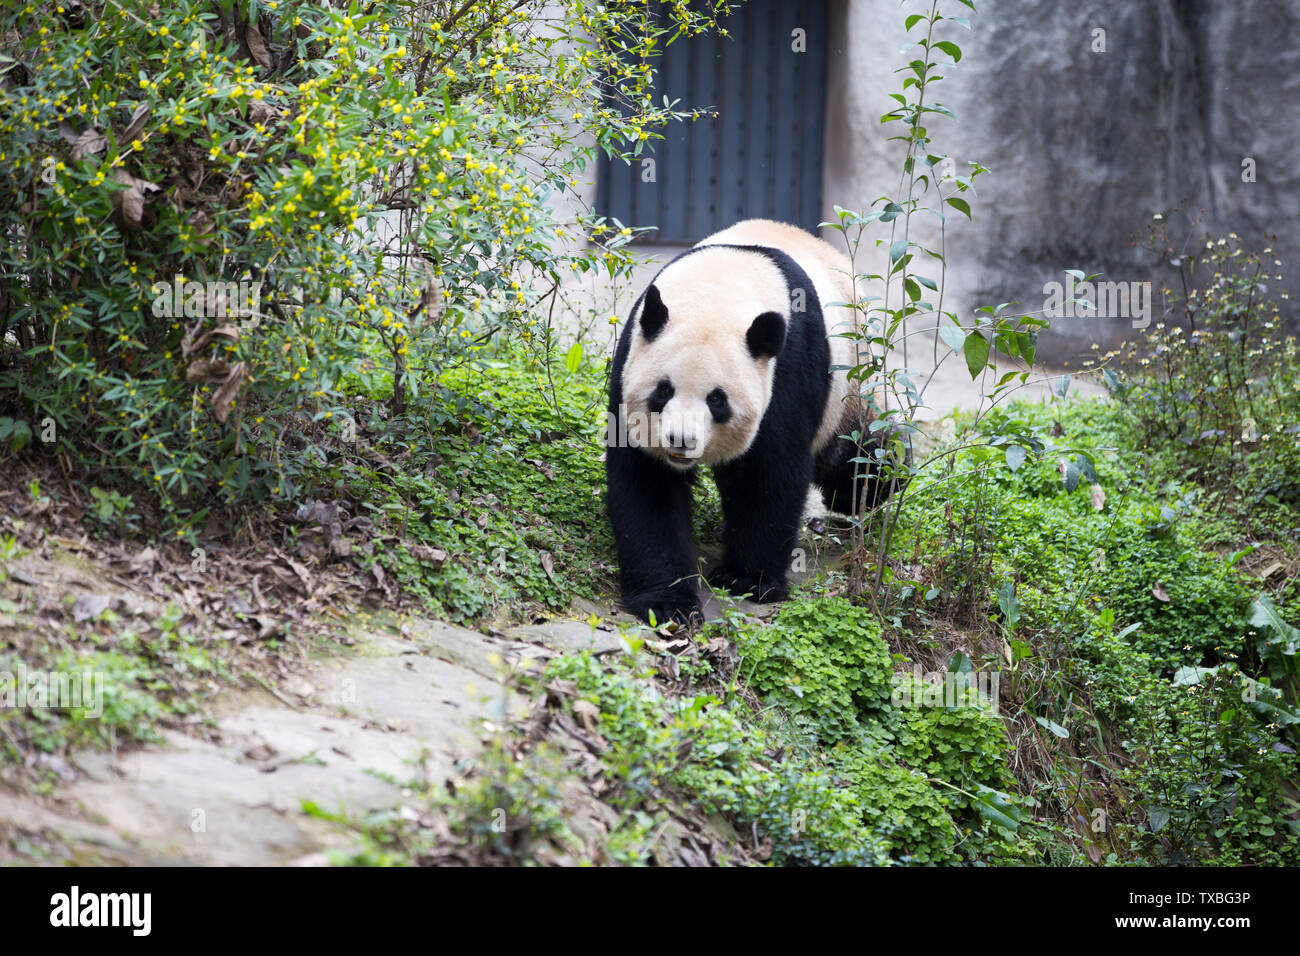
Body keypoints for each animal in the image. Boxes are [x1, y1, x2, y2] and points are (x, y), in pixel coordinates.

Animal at [605, 218, 905, 625]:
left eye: (717, 399)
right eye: (663, 391)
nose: (680, 440)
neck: (718, 290)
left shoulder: (788, 367)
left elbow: (768, 476)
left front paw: (745, 579)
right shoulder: (630, 359)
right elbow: (648, 483)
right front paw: (667, 601)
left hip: (852, 379)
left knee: (859, 457)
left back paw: (884, 479)